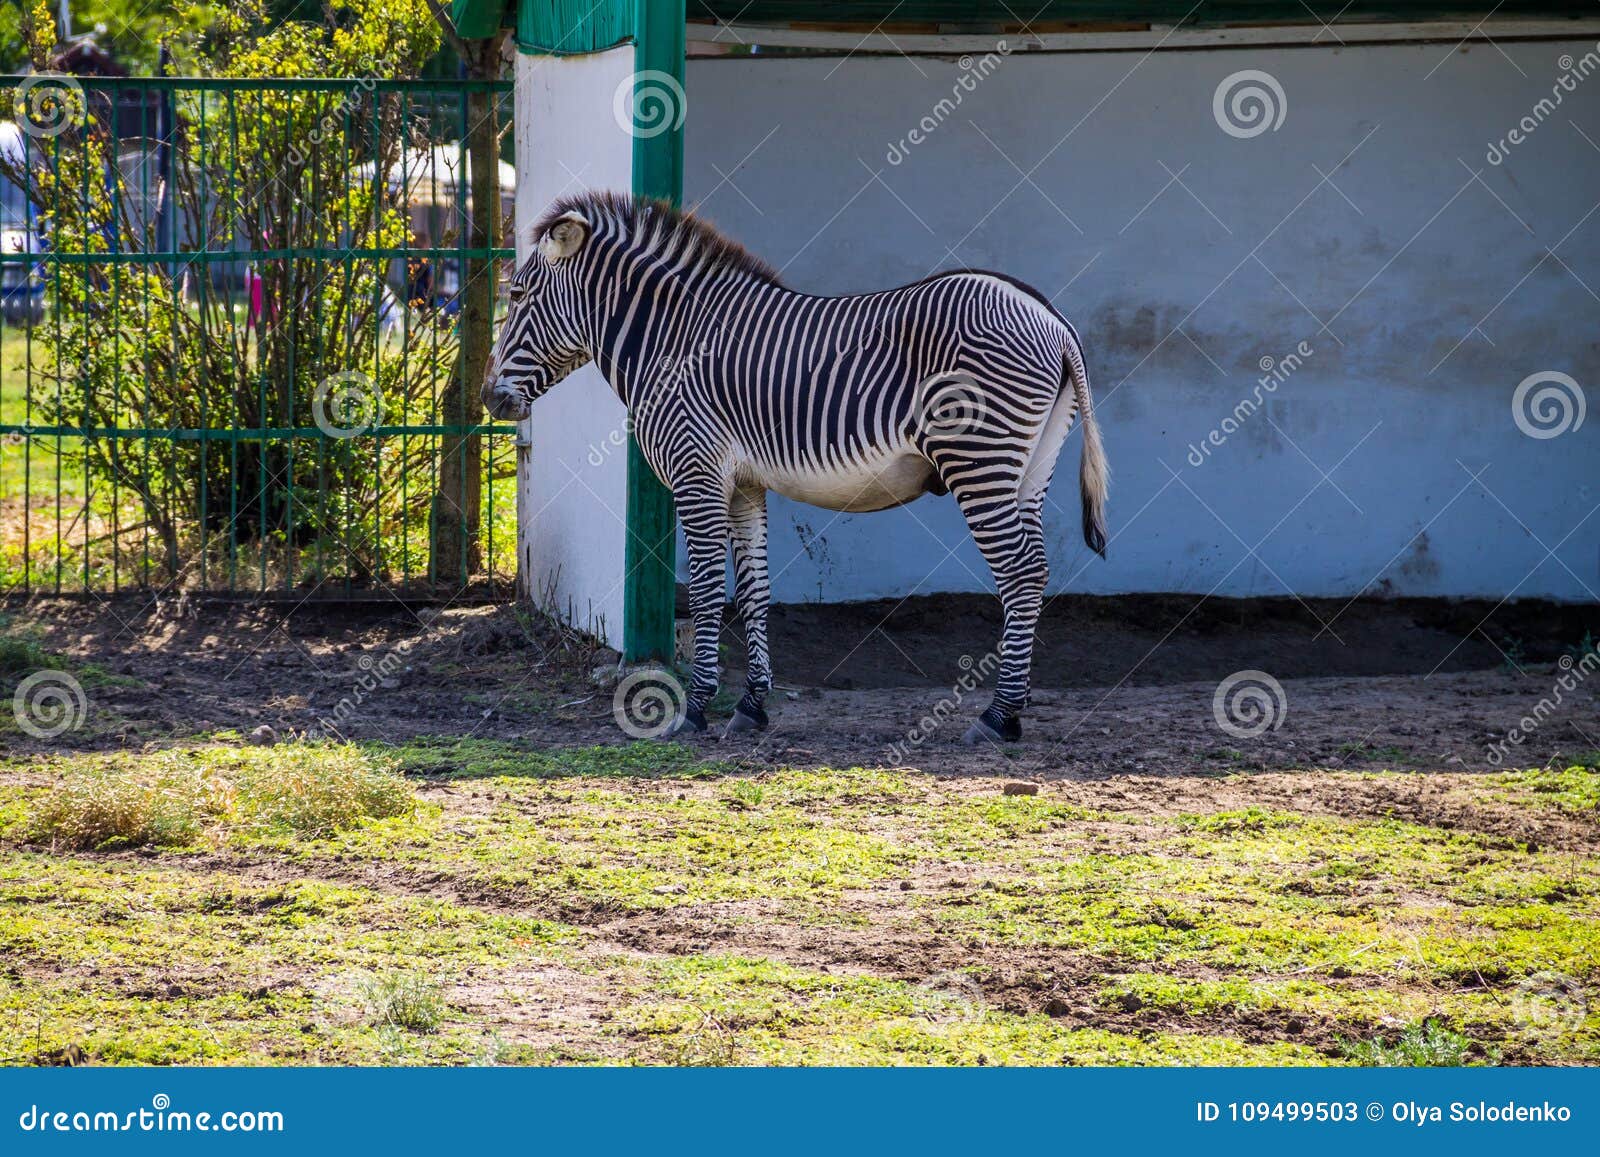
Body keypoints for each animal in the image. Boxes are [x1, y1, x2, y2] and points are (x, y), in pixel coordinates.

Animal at [484, 191, 1108, 745]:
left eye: (516, 294)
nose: (490, 400)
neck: (672, 341)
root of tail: (1051, 317)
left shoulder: (696, 472)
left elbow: (707, 590)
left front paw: (696, 707)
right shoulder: (743, 485)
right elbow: (753, 592)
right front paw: (751, 706)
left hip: (979, 461)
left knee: (1020, 574)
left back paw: (997, 717)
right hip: (1027, 468)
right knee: (1038, 571)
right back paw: (1015, 707)